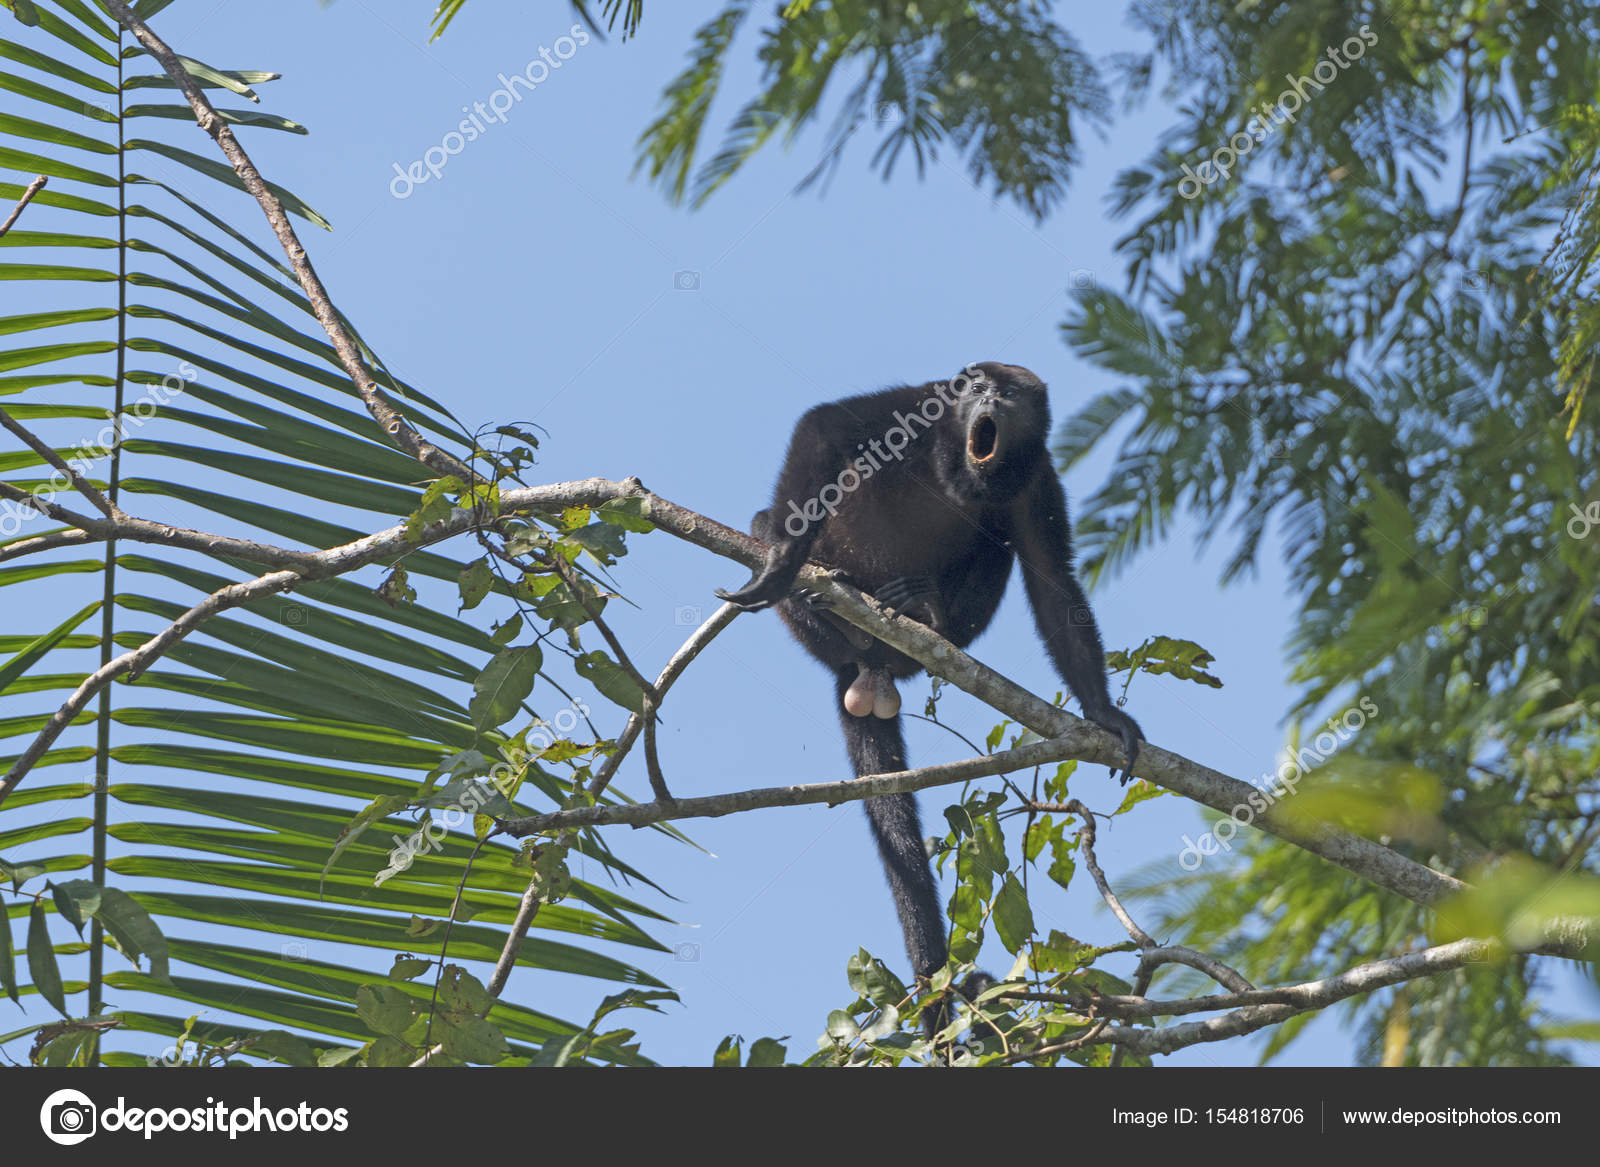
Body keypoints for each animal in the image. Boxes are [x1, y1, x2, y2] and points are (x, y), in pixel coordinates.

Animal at [716, 361, 1142, 1038]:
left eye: (1011, 394)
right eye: (975, 388)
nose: (990, 399)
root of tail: (870, 670)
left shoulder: (1038, 479)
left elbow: (1054, 582)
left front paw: (1102, 713)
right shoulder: (920, 408)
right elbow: (824, 425)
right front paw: (783, 558)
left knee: (997, 546)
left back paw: (928, 616)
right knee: (766, 522)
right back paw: (820, 596)